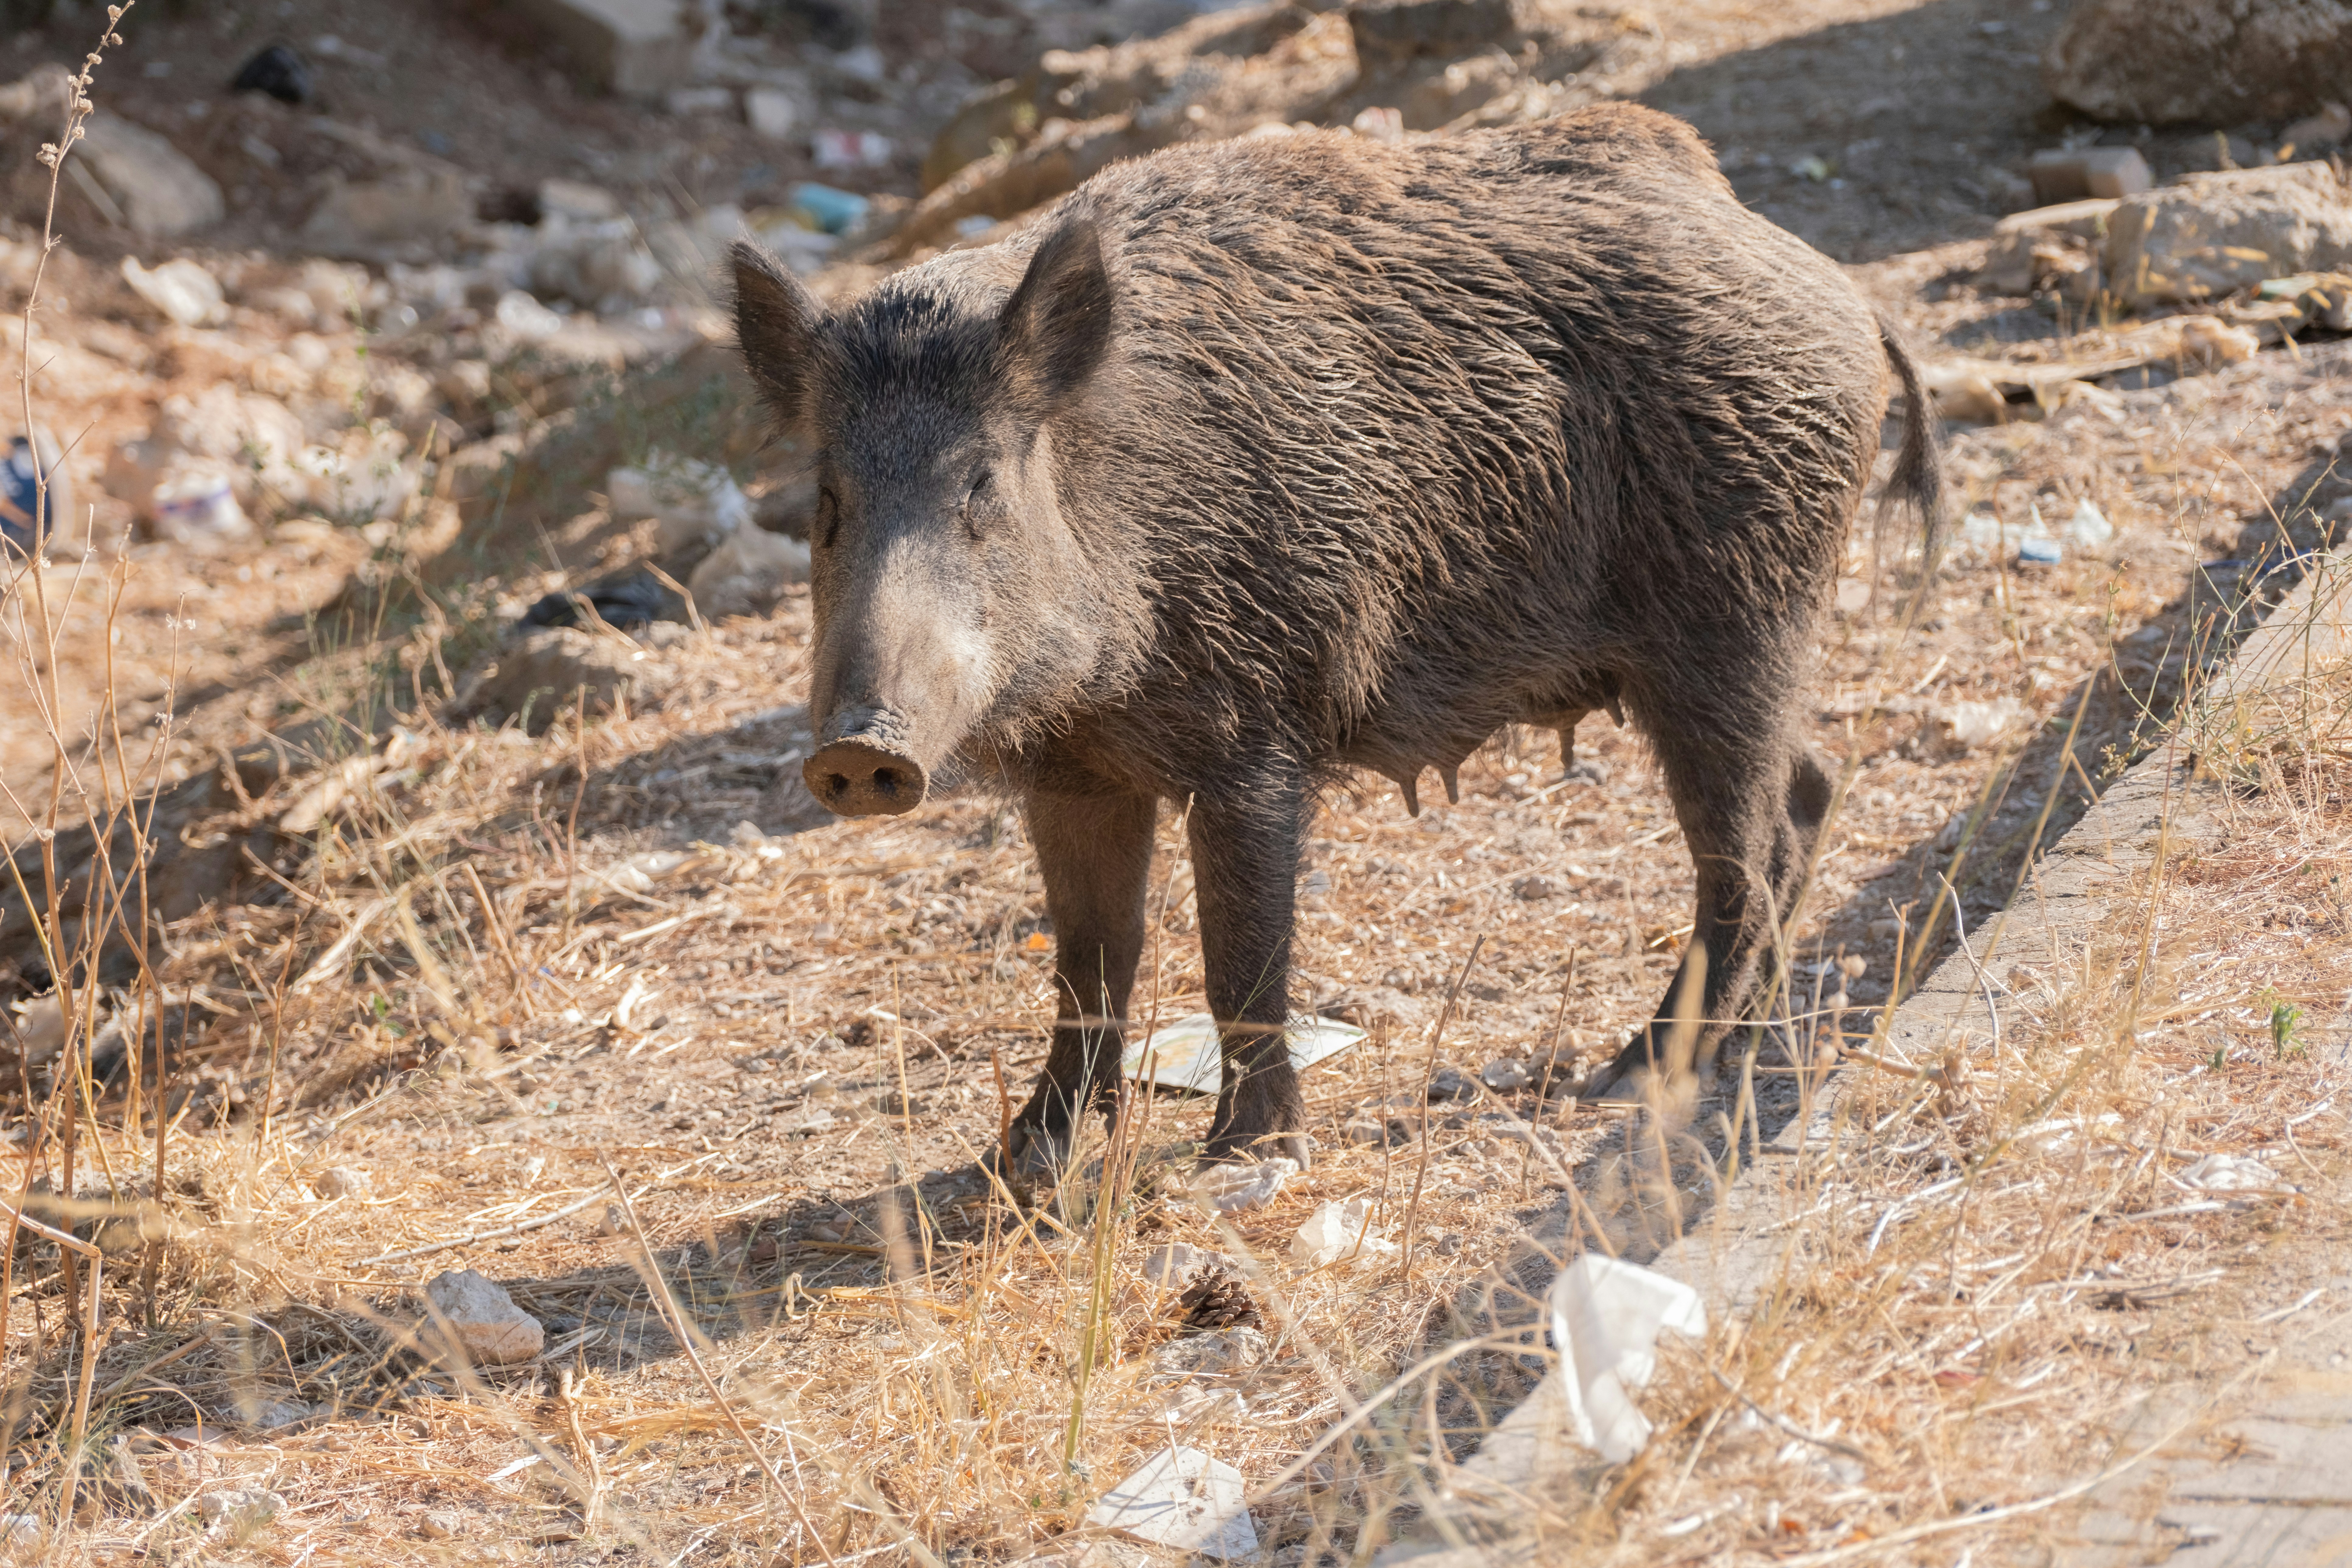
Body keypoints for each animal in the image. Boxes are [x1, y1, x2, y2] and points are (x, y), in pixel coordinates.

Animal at [731, 103, 1940, 1173]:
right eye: (828, 504)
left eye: (980, 483)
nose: (858, 750)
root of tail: (1834, 284)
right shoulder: (1075, 773)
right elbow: (1090, 961)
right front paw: (1026, 1160)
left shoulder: (1256, 728)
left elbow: (1241, 951)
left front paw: (1245, 1157)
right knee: (1809, 787)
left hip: (1736, 614)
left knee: (1747, 844)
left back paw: (1644, 1076)